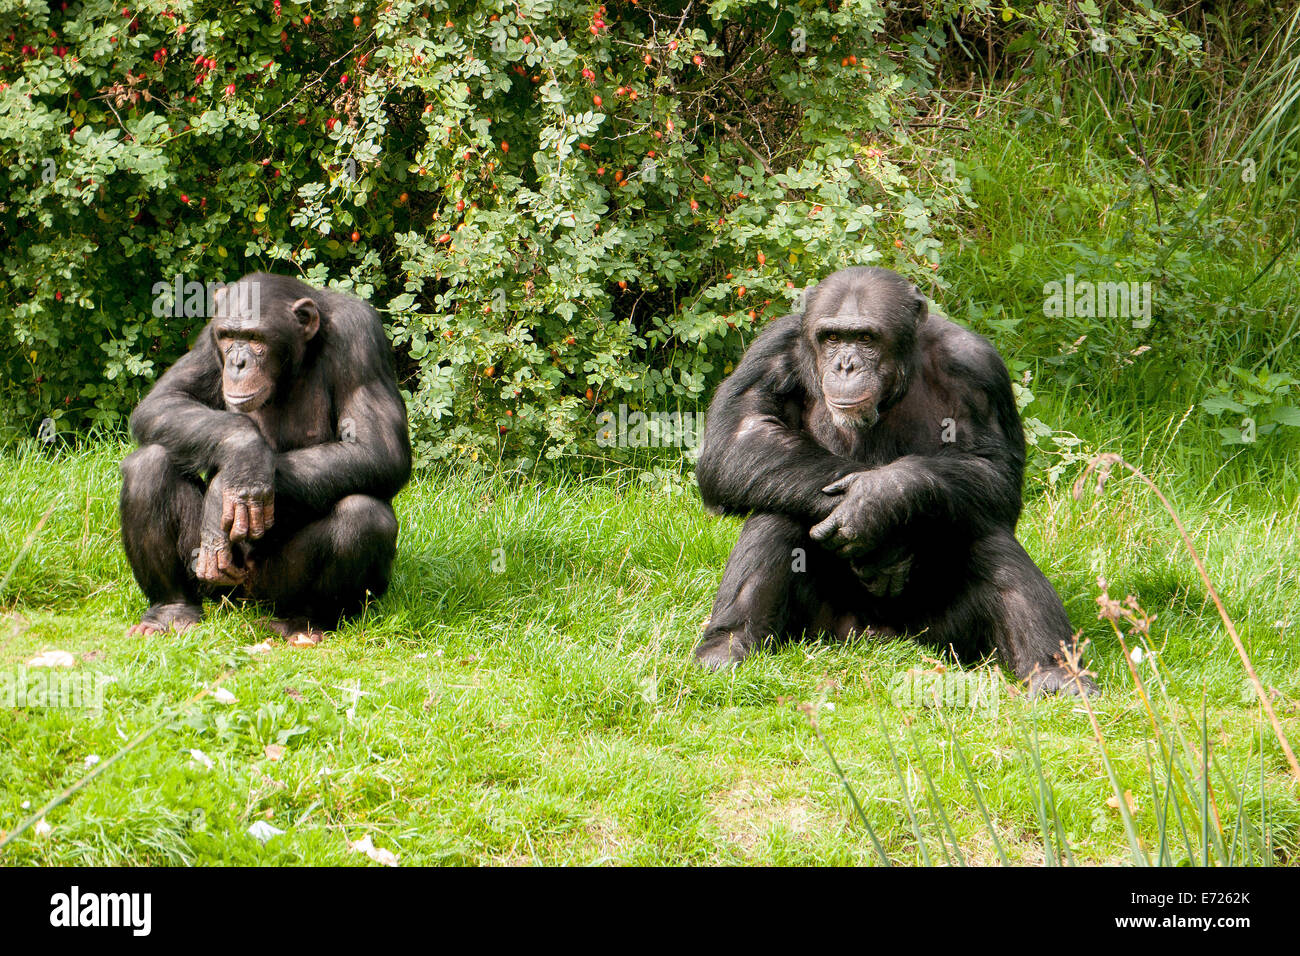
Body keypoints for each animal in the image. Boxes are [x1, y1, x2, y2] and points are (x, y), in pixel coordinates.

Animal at [120, 270, 410, 642]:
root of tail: (244, 602)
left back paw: (305, 623)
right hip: (212, 584)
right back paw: (171, 610)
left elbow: (379, 449)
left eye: (256, 338)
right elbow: (165, 400)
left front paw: (221, 493)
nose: (238, 362)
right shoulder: (207, 339)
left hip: (275, 588)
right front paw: (243, 452)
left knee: (363, 514)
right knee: (149, 464)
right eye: (229, 337)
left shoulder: (361, 337)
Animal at [696, 267, 1092, 697]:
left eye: (866, 338)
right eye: (832, 338)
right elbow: (739, 438)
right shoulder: (770, 351)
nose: (846, 365)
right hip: (821, 630)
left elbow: (995, 470)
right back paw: (726, 646)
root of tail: (877, 639)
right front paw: (881, 535)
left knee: (989, 538)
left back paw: (1056, 672)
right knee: (775, 515)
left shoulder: (978, 367)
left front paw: (877, 499)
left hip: (943, 639)